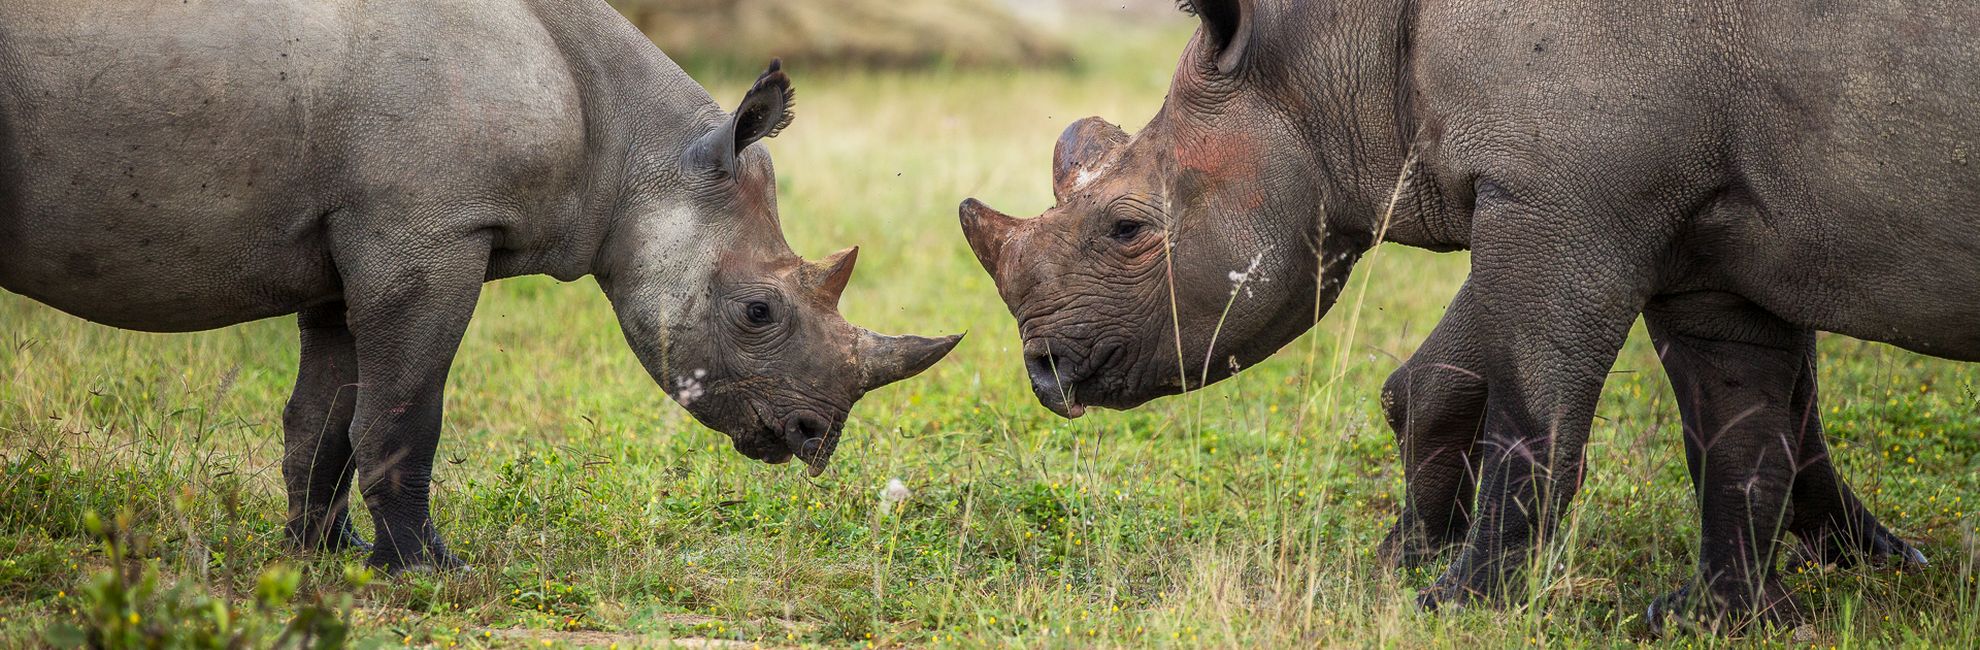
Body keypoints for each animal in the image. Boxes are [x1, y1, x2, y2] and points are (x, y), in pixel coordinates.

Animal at [0, 0, 960, 571]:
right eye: (758, 312)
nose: (813, 440)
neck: (636, 151)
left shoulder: (355, 240)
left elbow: (323, 422)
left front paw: (322, 561)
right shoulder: (428, 231)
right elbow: (403, 412)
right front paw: (427, 572)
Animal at [960, 0, 1972, 631]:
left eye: (1128, 228)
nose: (1044, 372)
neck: (1335, 58)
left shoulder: (1560, 200)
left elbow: (1531, 407)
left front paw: (1456, 602)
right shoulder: (1711, 238)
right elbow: (1741, 421)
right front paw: (1721, 619)